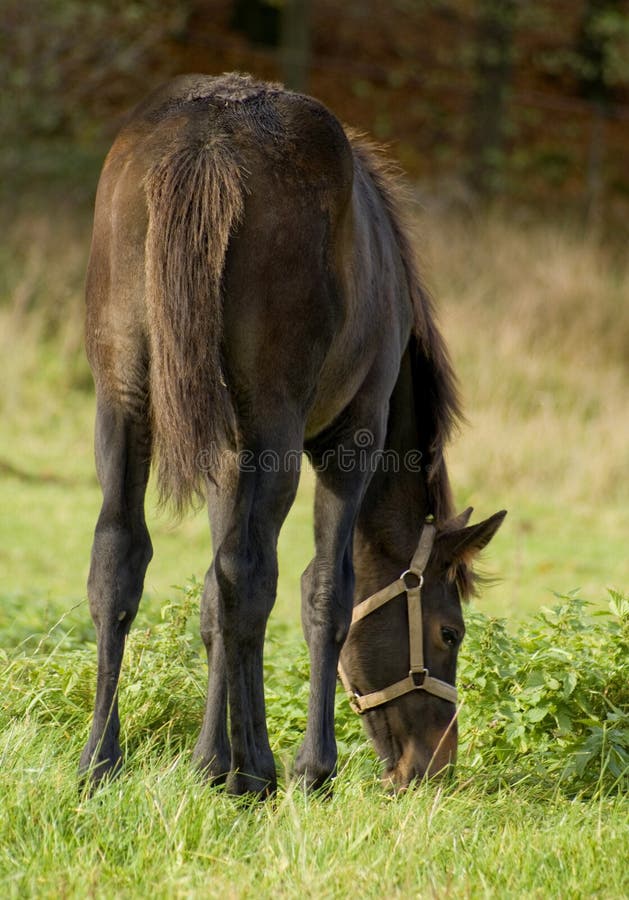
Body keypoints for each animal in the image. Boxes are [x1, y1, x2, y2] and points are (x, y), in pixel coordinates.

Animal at [80, 72, 505, 796]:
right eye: (450, 634)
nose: (431, 766)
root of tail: (208, 141)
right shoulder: (352, 437)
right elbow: (322, 592)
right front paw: (306, 765)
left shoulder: (226, 455)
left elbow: (211, 603)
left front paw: (207, 760)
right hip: (273, 425)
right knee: (254, 574)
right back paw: (258, 769)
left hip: (124, 401)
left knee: (120, 556)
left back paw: (101, 761)